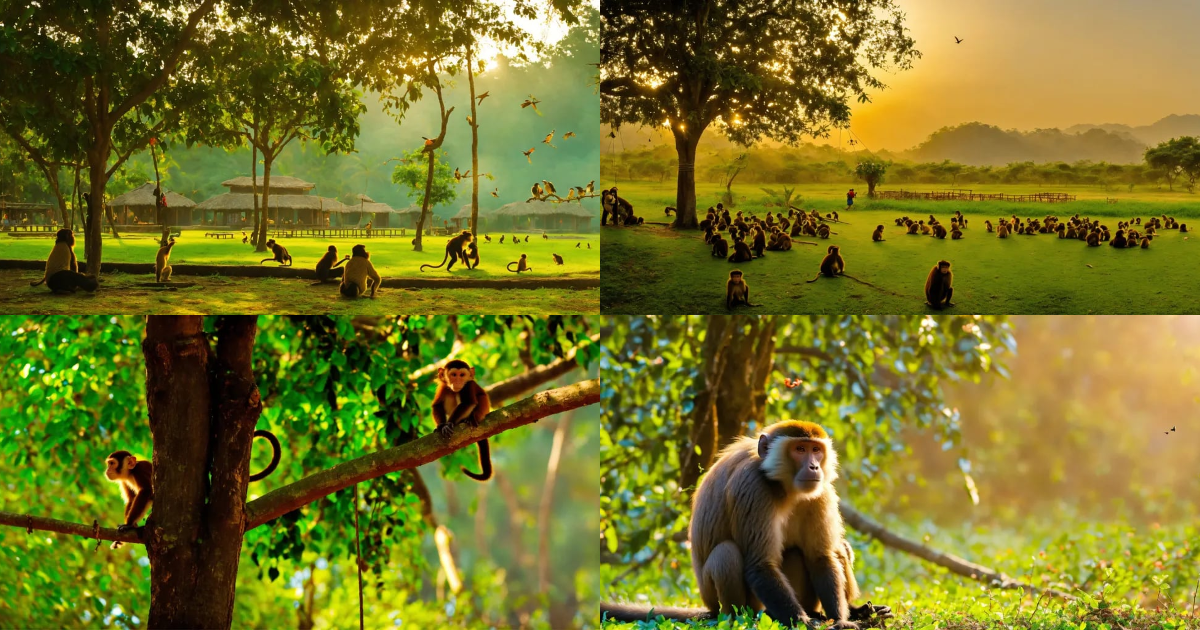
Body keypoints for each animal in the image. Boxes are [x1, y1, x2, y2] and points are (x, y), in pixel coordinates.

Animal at [600, 420, 890, 629]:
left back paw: (842, 610)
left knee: (831, 548)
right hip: (730, 600)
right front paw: (806, 624)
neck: (784, 488)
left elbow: (820, 557)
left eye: (816, 450)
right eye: (800, 449)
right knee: (726, 553)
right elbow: (759, 564)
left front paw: (841, 619)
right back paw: (742, 619)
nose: (814, 467)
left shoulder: (821, 492)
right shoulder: (752, 486)